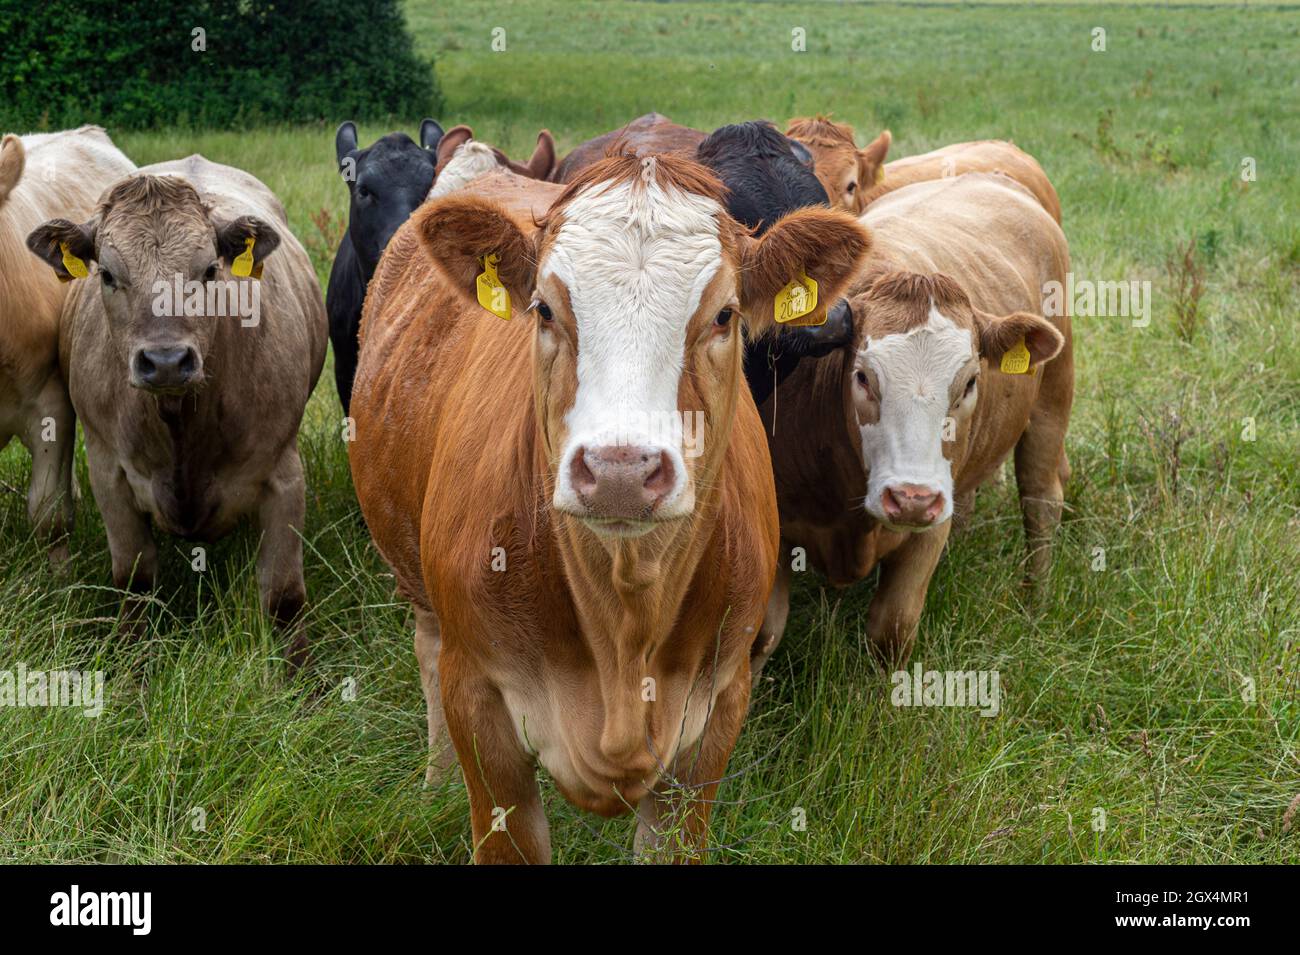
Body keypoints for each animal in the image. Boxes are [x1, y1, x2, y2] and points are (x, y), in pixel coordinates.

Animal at [27, 157, 327, 668]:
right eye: (107, 275)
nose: (165, 360)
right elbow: (133, 578)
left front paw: (300, 680)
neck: (181, 423)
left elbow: (283, 593)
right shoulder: (108, 470)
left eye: (209, 270)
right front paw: (133, 671)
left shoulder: (284, 473)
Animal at [349, 151, 871, 863]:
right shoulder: (478, 695)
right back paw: (435, 783)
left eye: (725, 315)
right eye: (543, 308)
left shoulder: (719, 708)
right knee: (427, 651)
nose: (621, 469)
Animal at [754, 173, 1073, 673]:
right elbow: (763, 633)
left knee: (1041, 500)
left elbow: (893, 628)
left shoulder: (927, 532)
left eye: (970, 381)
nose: (911, 499)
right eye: (863, 376)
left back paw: (1034, 602)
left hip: (1052, 400)